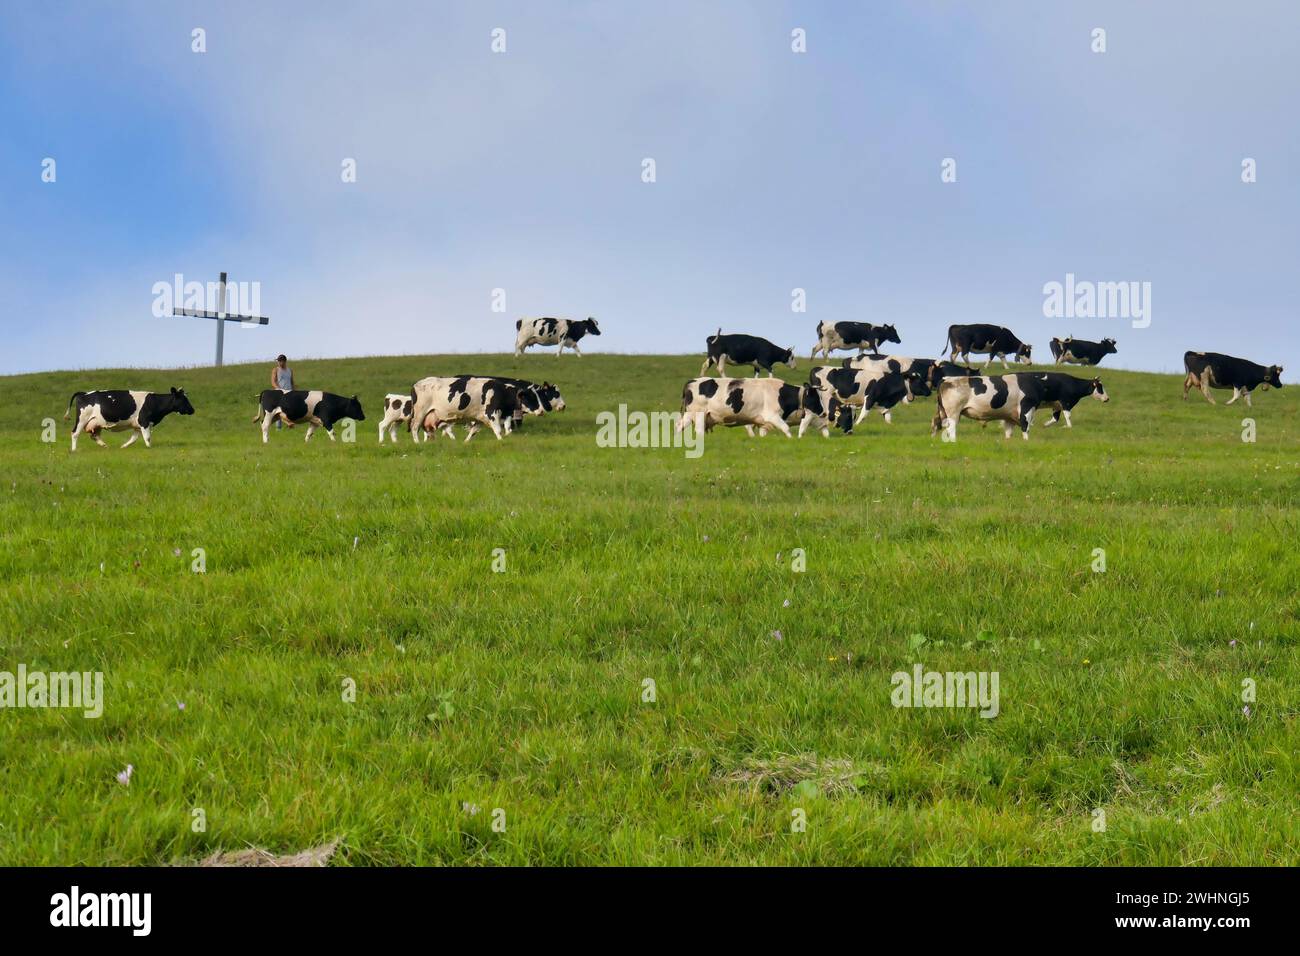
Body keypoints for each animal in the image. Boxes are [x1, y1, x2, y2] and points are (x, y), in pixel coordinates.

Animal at [65, 388, 195, 451]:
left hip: (96, 423)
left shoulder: (138, 425)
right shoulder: (144, 421)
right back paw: (74, 450)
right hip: (82, 419)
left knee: (94, 436)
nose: (193, 410)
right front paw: (149, 448)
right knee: (74, 433)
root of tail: (84, 393)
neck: (154, 402)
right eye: (184, 399)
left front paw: (123, 447)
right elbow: (147, 437)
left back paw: (104, 446)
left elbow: (134, 439)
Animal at [677, 377, 847, 438]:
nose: (823, 412)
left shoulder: (765, 423)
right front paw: (791, 439)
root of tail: (692, 381)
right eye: (814, 397)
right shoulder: (772, 416)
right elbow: (786, 428)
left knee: (679, 426)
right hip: (698, 414)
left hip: (690, 415)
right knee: (697, 430)